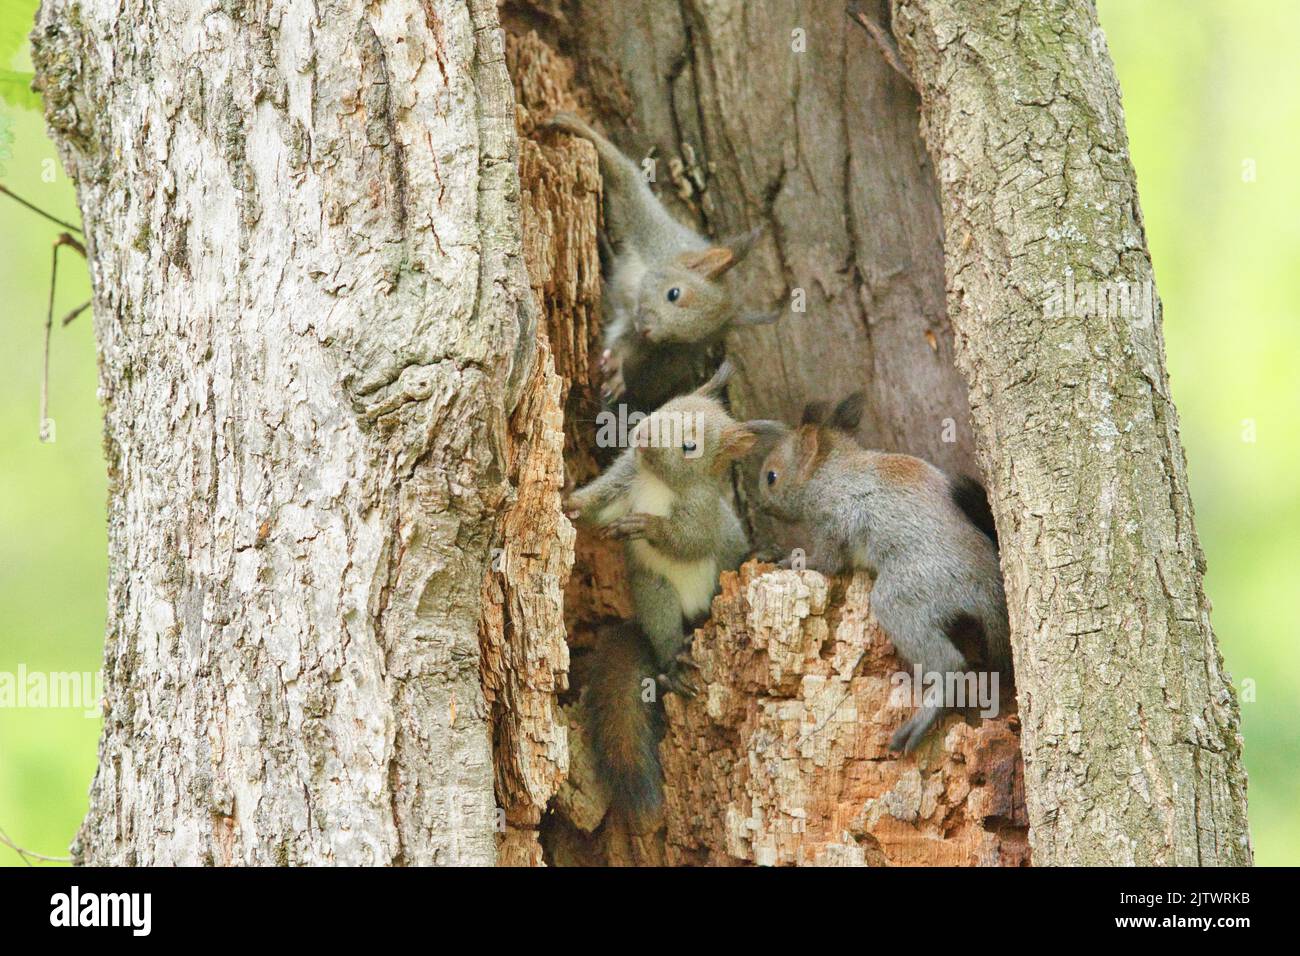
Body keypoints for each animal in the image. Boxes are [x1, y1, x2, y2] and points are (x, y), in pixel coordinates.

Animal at [544, 111, 778, 412]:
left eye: (676, 338)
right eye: (674, 293)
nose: (648, 331)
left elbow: (627, 342)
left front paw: (617, 369)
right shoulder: (648, 227)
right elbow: (624, 177)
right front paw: (577, 126)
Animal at [566, 362, 781, 816]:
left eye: (690, 446)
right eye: (666, 407)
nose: (643, 435)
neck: (658, 482)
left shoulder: (703, 513)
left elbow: (688, 540)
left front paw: (647, 526)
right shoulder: (624, 479)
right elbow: (594, 508)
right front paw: (569, 501)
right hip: (656, 596)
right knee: (665, 639)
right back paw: (673, 668)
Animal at [753, 393, 1012, 754]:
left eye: (771, 476)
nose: (759, 505)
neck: (831, 472)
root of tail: (989, 583)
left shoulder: (834, 522)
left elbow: (827, 562)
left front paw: (790, 559)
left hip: (909, 592)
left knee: (949, 665)